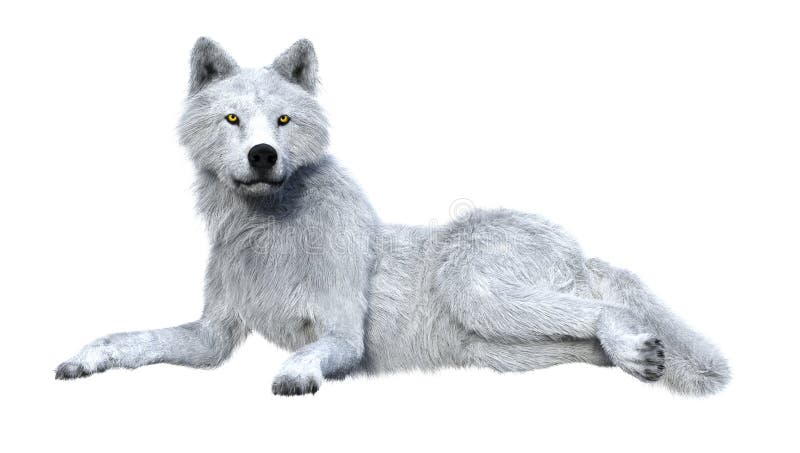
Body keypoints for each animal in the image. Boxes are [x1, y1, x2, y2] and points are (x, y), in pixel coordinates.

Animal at [55, 38, 730, 396]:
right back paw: (637, 358)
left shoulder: (343, 336)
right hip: (502, 349)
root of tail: (579, 248)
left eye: (283, 120)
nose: (262, 154)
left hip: (476, 290)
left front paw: (296, 374)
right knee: (589, 335)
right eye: (232, 120)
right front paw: (86, 357)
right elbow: (133, 340)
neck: (271, 229)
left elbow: (313, 352)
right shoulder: (212, 337)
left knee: (602, 306)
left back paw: (636, 345)